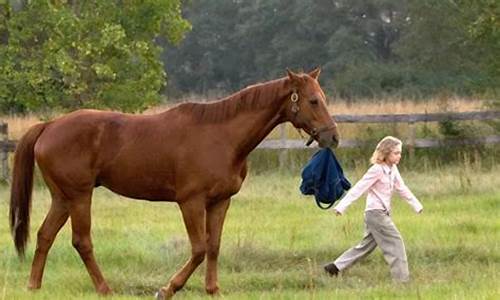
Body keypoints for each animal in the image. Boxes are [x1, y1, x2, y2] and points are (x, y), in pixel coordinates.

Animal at [9, 68, 340, 298]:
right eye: (313, 100)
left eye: (324, 98)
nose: (333, 137)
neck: (222, 136)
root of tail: (50, 126)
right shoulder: (190, 202)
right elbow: (199, 248)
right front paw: (168, 288)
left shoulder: (220, 202)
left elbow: (214, 246)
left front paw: (213, 289)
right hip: (79, 196)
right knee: (82, 241)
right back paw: (104, 289)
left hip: (62, 197)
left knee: (44, 235)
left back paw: (33, 285)